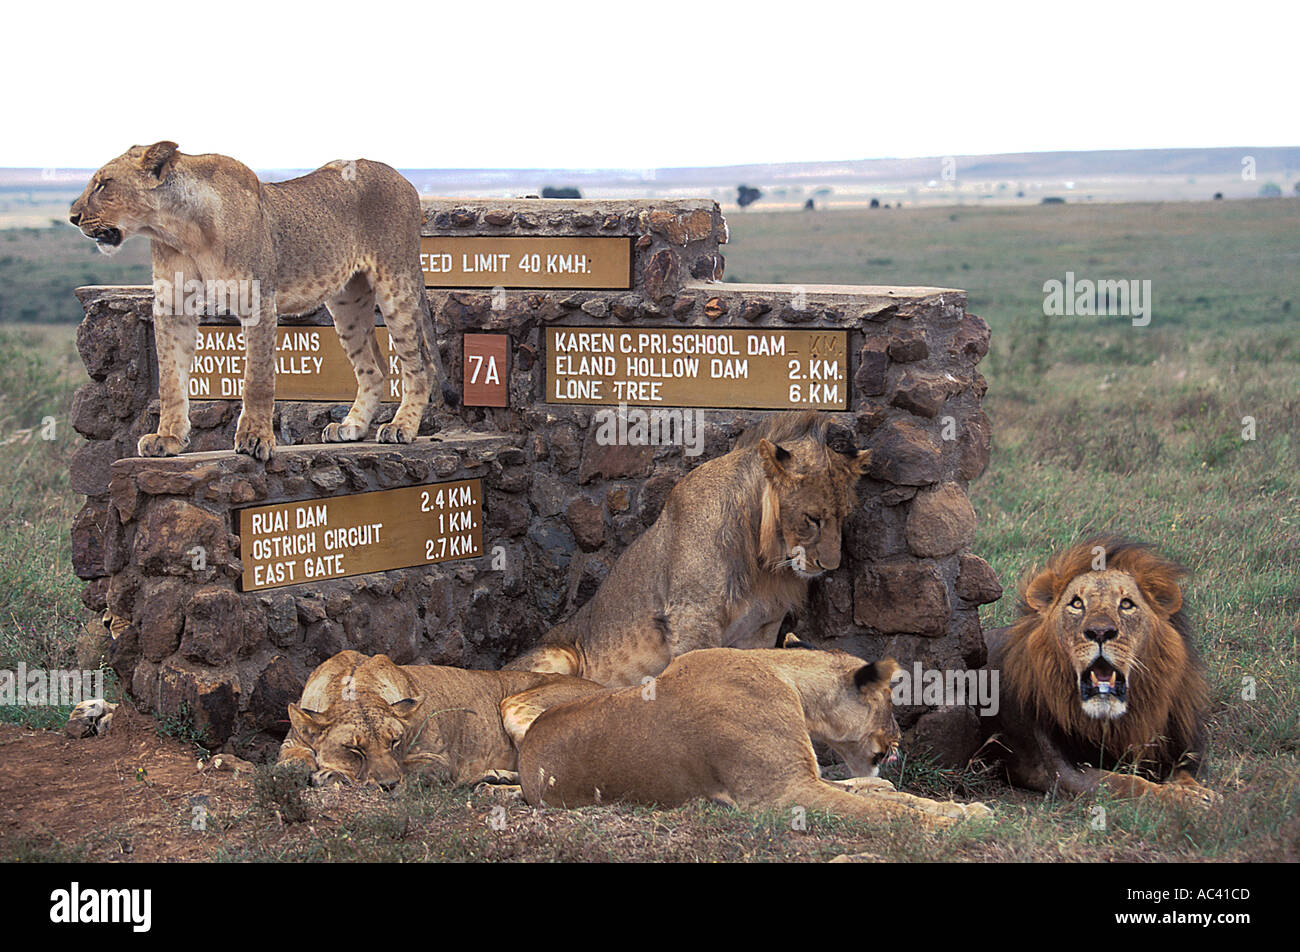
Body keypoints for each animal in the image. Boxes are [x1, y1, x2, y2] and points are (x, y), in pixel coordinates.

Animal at [69, 142, 447, 461]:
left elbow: (257, 379)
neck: (179, 229)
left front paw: (255, 439)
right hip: (347, 302)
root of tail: (405, 180)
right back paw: (351, 426)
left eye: (103, 184)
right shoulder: (172, 305)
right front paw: (168, 439)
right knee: (374, 368)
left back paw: (401, 427)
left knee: (420, 365)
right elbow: (170, 380)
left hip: (396, 283)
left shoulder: (258, 300)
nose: (72, 217)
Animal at [276, 650, 602, 788]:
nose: (389, 786)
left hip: (515, 704)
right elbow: (290, 763)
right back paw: (492, 777)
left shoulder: (437, 761)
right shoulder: (291, 743)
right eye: (355, 749)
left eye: (394, 742)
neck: (357, 687)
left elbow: (409, 769)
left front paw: (330, 775)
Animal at [505, 412, 871, 686]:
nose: (831, 566)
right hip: (560, 657)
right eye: (813, 518)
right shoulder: (693, 618)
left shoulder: (761, 629)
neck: (762, 559)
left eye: (844, 516)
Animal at [505, 647, 992, 826]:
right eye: (891, 703)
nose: (898, 742)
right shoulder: (784, 793)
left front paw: (966, 810)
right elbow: (880, 810)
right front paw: (948, 824)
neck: (791, 681)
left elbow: (893, 799)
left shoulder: (800, 780)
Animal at [979, 538, 1216, 806]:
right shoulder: (1063, 771)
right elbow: (1127, 782)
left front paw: (1198, 792)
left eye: (1126, 604)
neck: (1116, 722)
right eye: (1077, 603)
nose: (1100, 632)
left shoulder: (1175, 751)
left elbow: (1185, 774)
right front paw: (1184, 798)